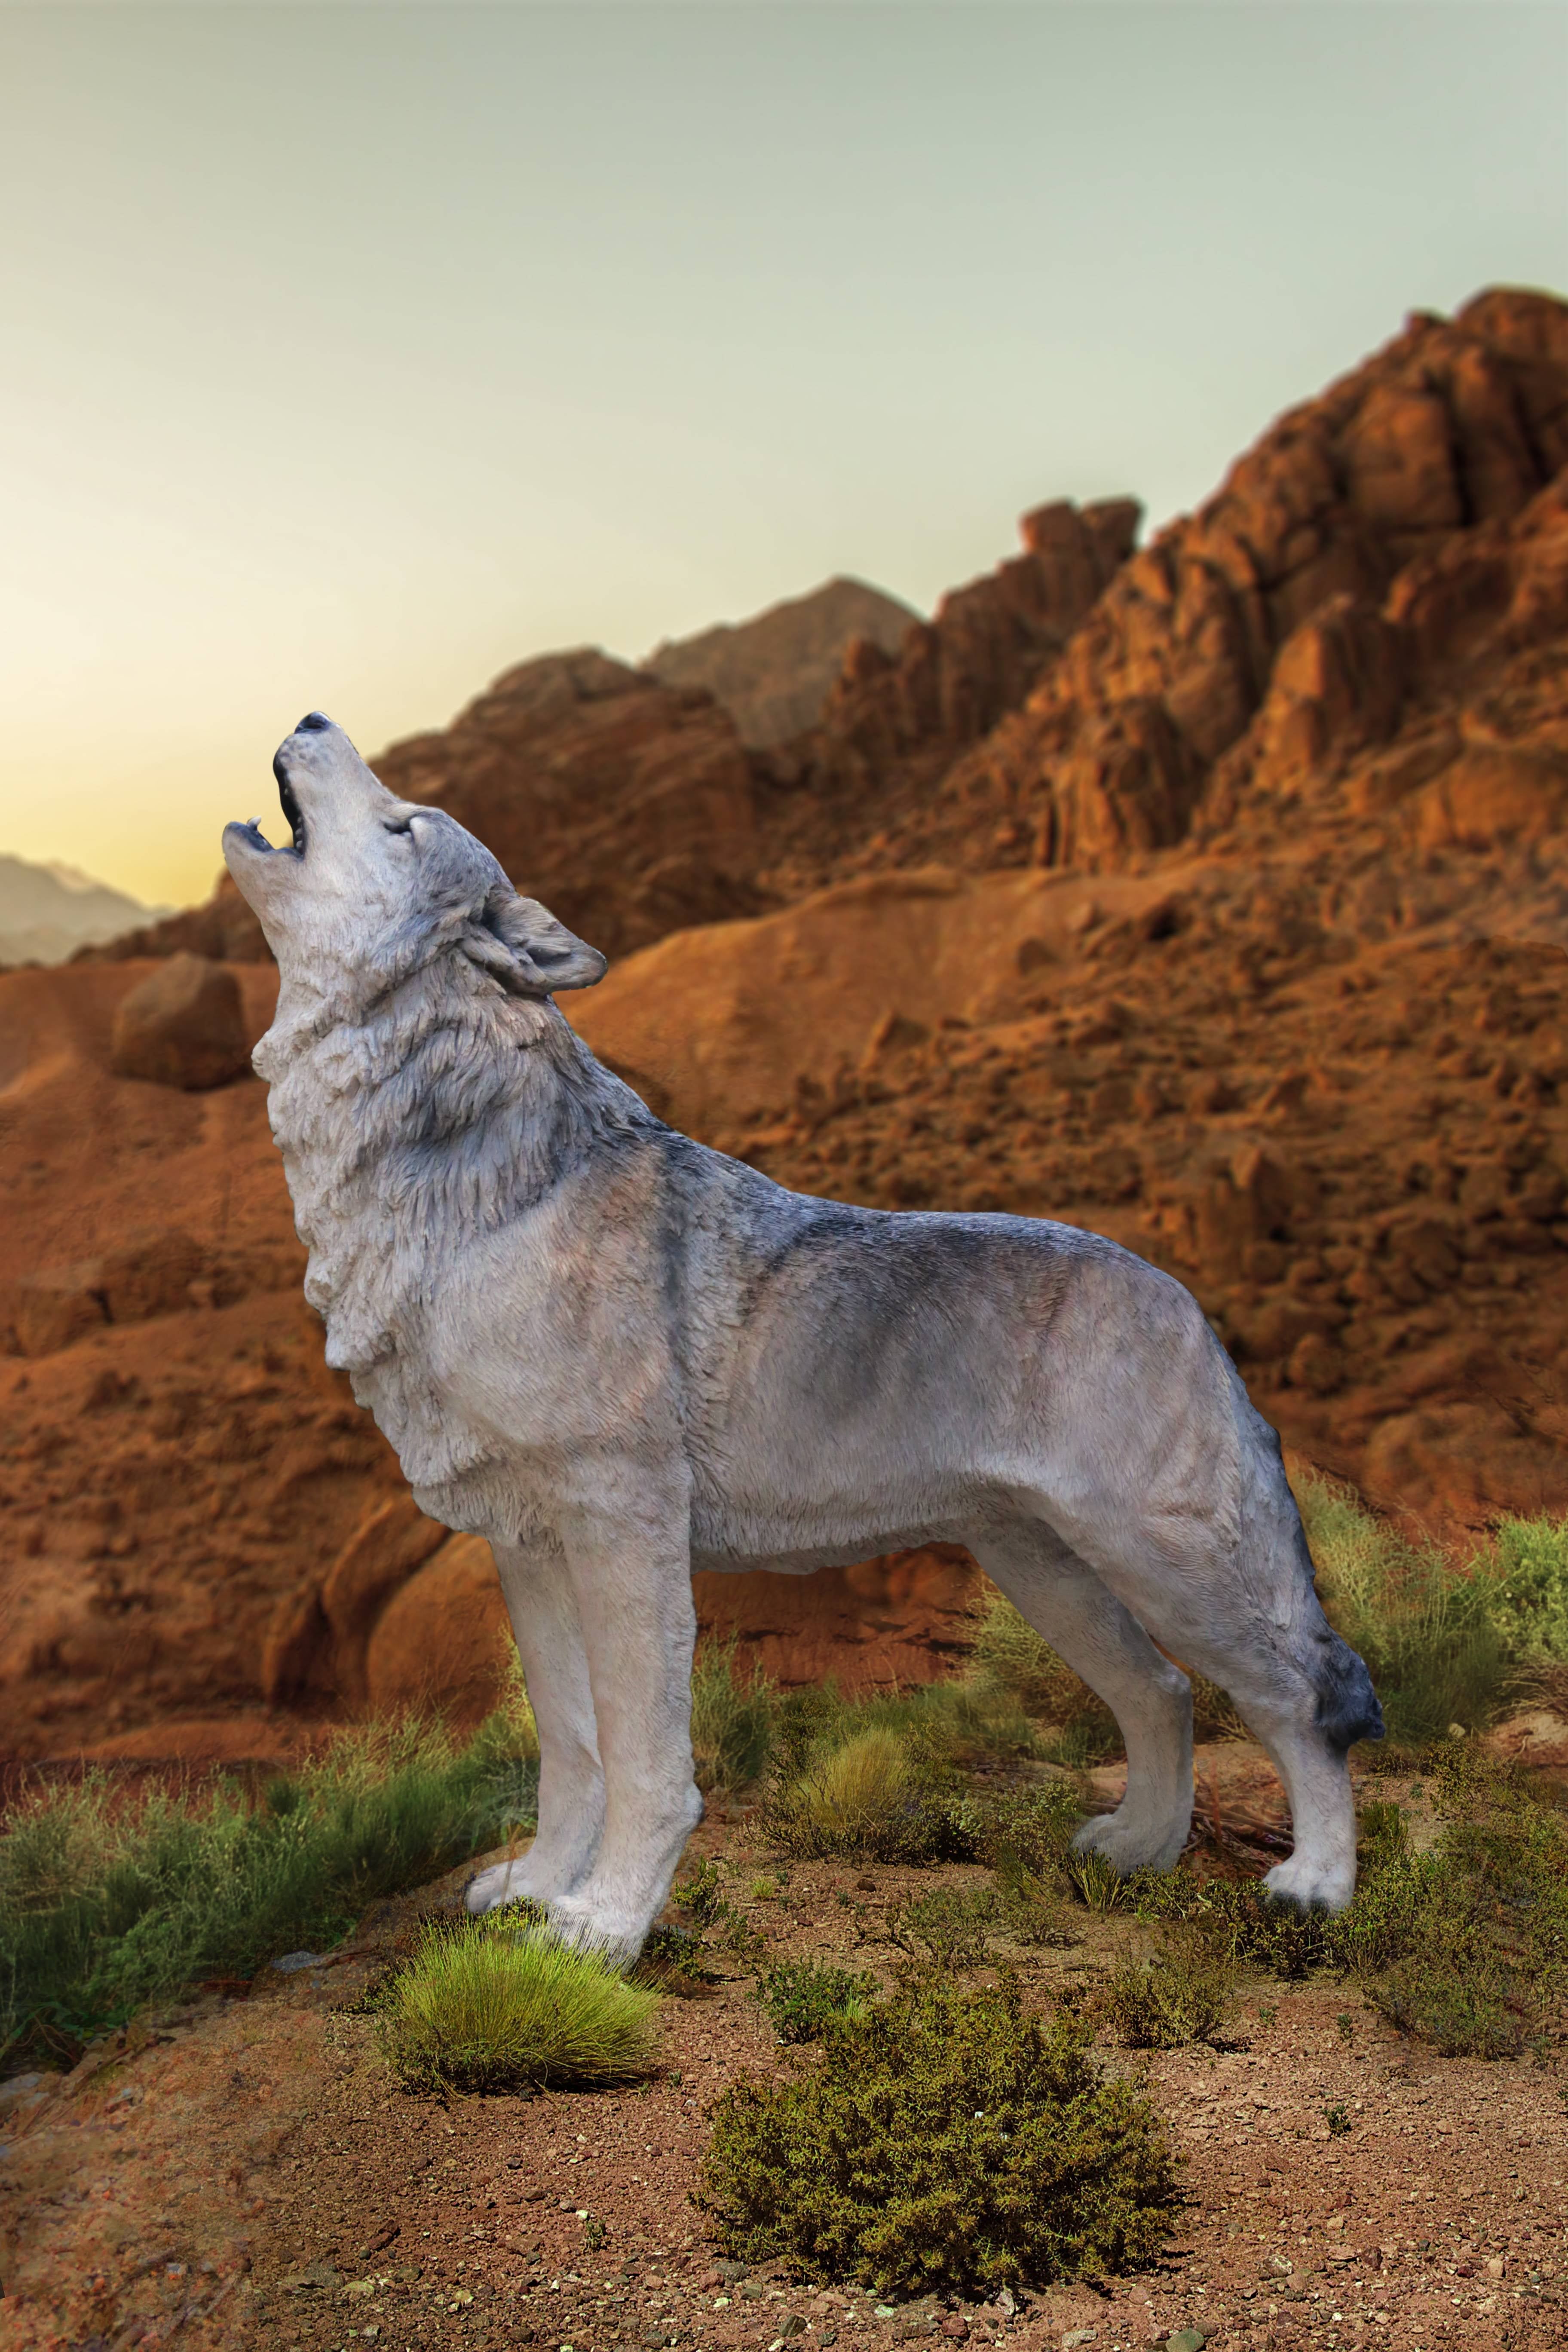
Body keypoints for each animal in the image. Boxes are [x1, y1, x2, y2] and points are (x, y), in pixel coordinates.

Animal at [224, 715, 1381, 1961]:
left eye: (405, 824)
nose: (312, 720)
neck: (470, 1183)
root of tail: (1186, 1301)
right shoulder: (527, 1546)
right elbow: (571, 1751)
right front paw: (539, 1886)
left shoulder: (621, 1522)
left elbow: (645, 1761)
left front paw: (607, 1928)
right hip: (1046, 1573)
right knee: (1163, 1695)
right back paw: (1138, 1851)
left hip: (1166, 1566)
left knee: (1300, 1700)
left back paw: (1317, 1885)